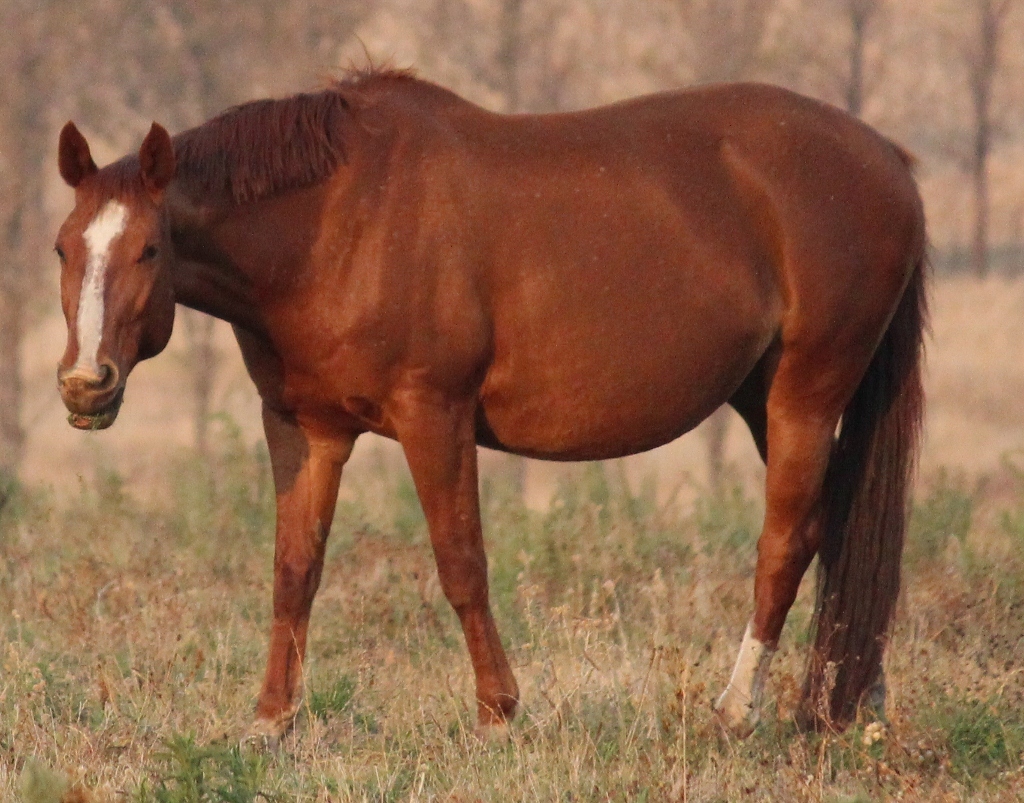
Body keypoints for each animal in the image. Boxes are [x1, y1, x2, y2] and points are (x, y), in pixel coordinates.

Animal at [54, 69, 926, 742]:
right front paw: (271, 720)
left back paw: (740, 709)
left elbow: (461, 562)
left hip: (806, 394)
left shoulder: (432, 414)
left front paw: (499, 712)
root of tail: (887, 159)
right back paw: (855, 702)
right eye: (64, 247)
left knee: (785, 542)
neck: (338, 222)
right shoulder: (305, 426)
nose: (85, 383)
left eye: (150, 248)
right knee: (835, 531)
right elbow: (294, 568)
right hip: (762, 397)